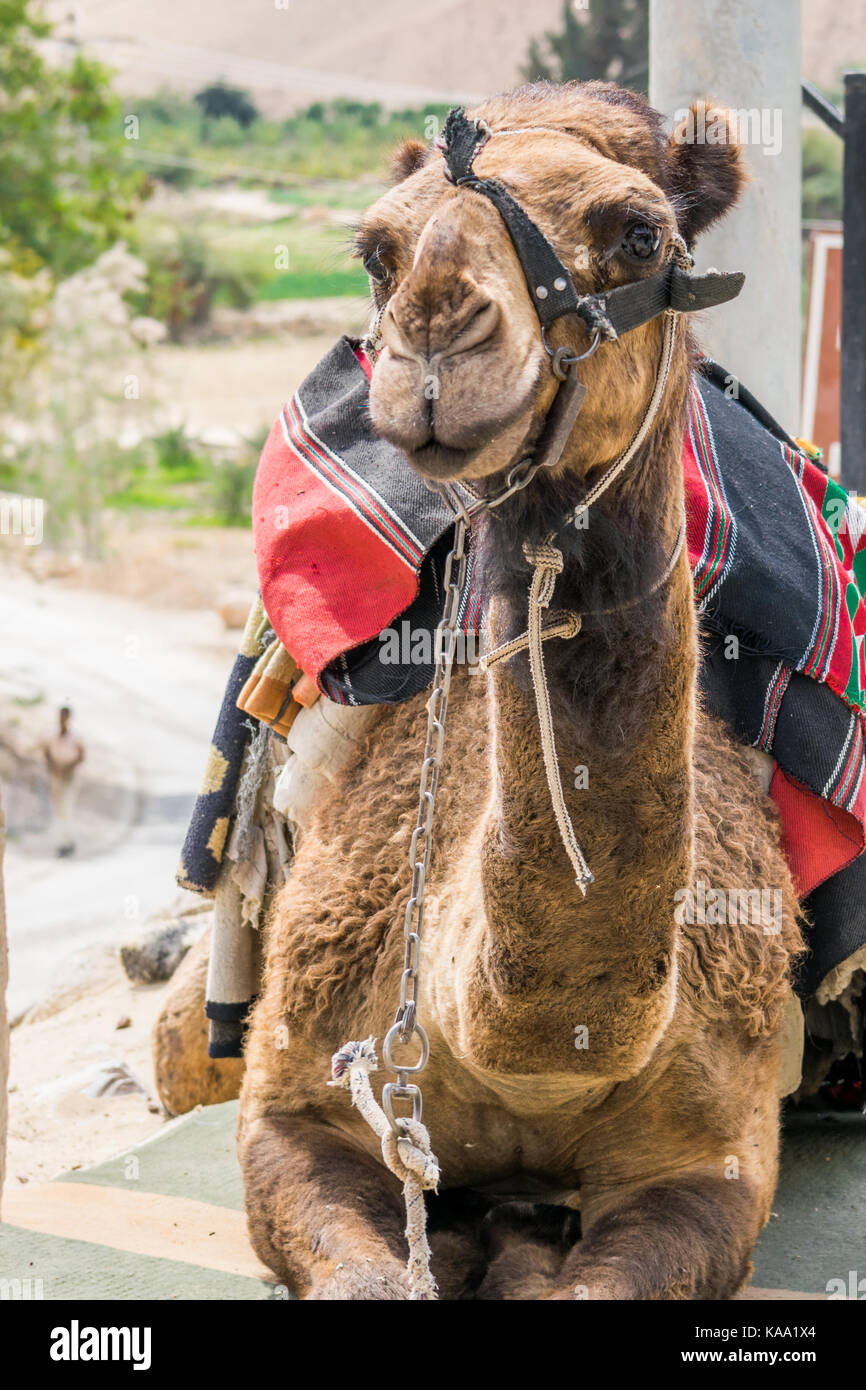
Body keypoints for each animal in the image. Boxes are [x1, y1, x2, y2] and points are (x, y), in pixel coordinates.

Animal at [174, 82, 809, 1299]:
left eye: (638, 233)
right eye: (376, 251)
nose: (435, 334)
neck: (530, 1058)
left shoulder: (717, 1160)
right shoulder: (288, 1111)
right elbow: (367, 1269)